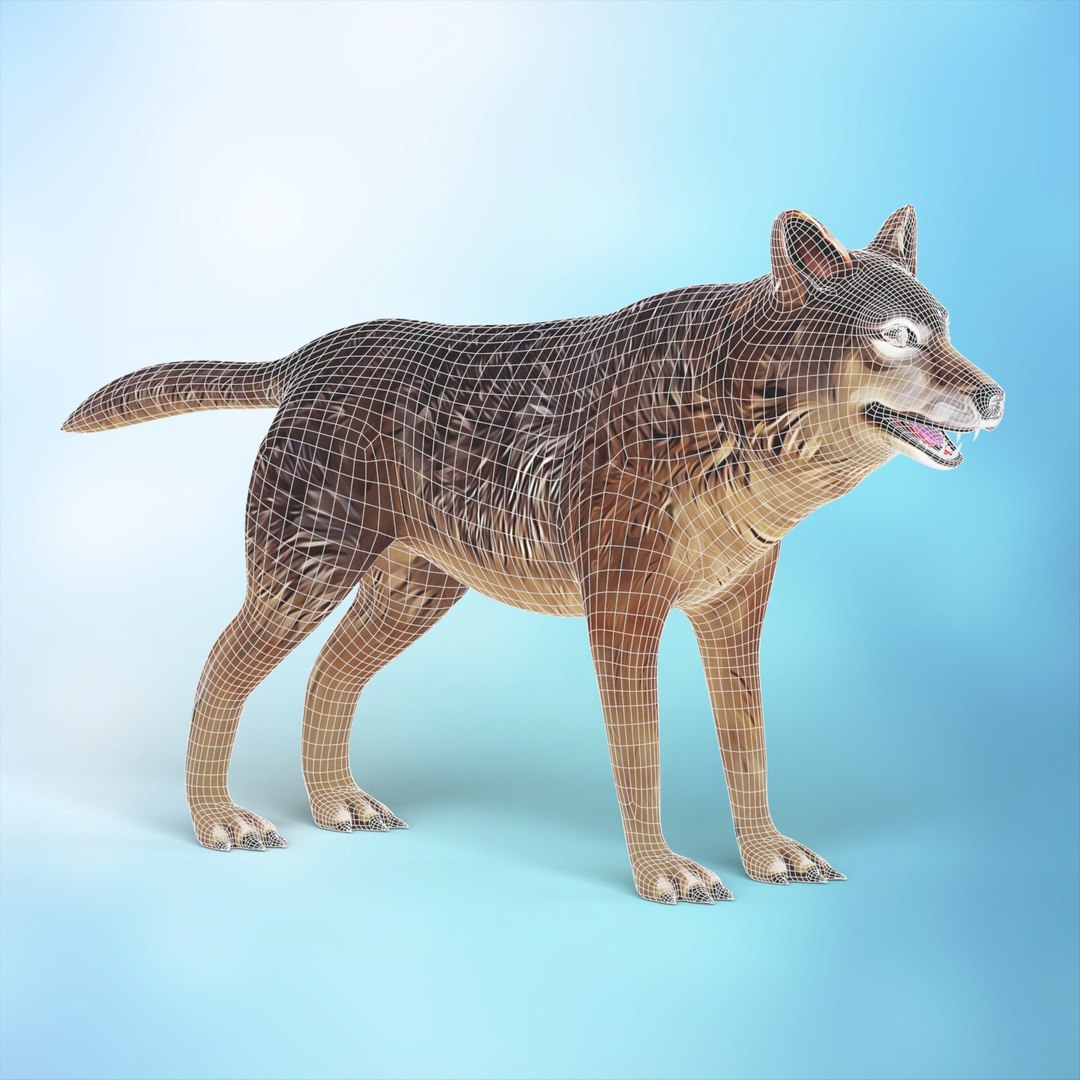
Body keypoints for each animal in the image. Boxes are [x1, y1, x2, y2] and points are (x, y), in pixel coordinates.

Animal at [63, 207, 1004, 904]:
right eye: (898, 336)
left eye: (948, 329)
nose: (996, 396)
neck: (727, 409)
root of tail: (311, 356)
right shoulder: (622, 615)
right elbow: (642, 752)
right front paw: (662, 874)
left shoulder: (733, 615)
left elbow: (750, 744)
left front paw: (769, 852)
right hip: (310, 574)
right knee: (219, 671)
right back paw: (218, 821)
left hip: (411, 594)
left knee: (326, 677)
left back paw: (336, 805)